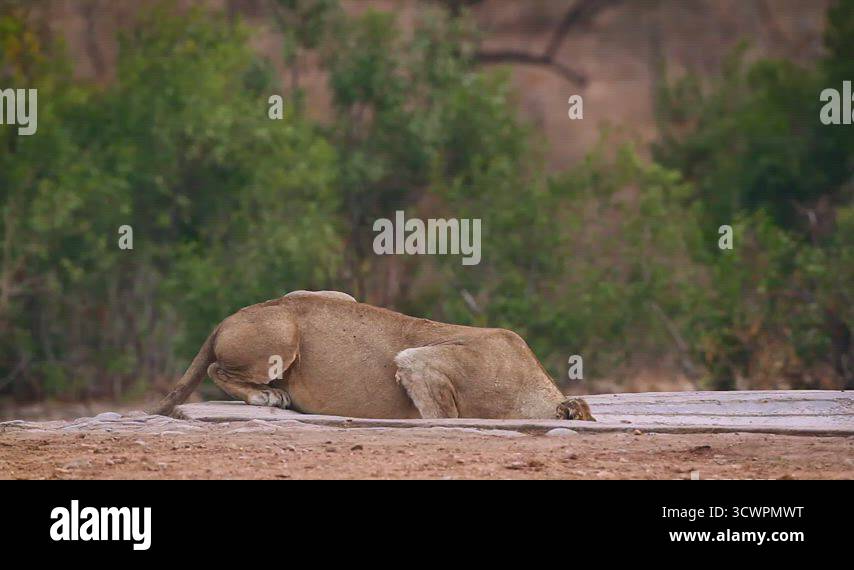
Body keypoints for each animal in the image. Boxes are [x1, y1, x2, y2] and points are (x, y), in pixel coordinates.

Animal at [149, 290, 595, 421]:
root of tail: (230, 316)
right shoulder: (417, 361)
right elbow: (444, 414)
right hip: (283, 331)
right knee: (215, 367)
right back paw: (268, 395)